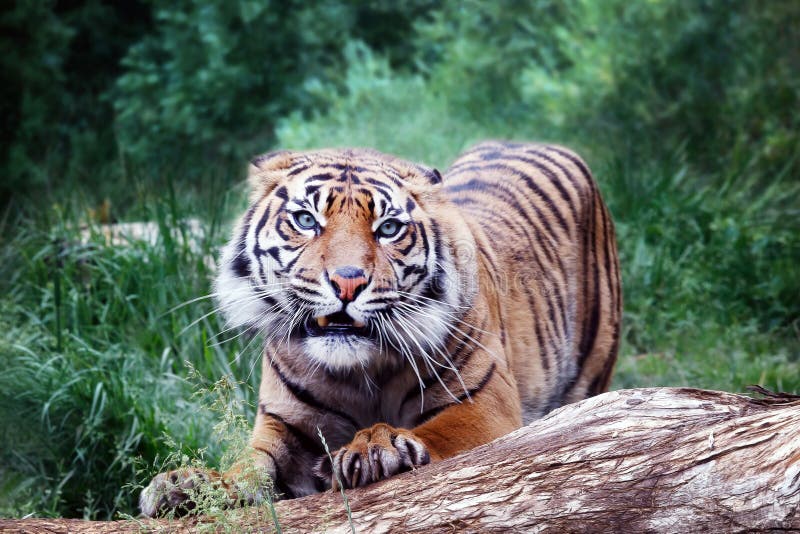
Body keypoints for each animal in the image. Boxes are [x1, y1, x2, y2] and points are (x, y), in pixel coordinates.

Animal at [139, 141, 621, 517]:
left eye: (388, 228)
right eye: (306, 220)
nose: (347, 281)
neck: (358, 372)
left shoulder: (485, 406)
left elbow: (439, 430)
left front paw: (376, 447)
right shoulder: (283, 426)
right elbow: (246, 467)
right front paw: (186, 486)